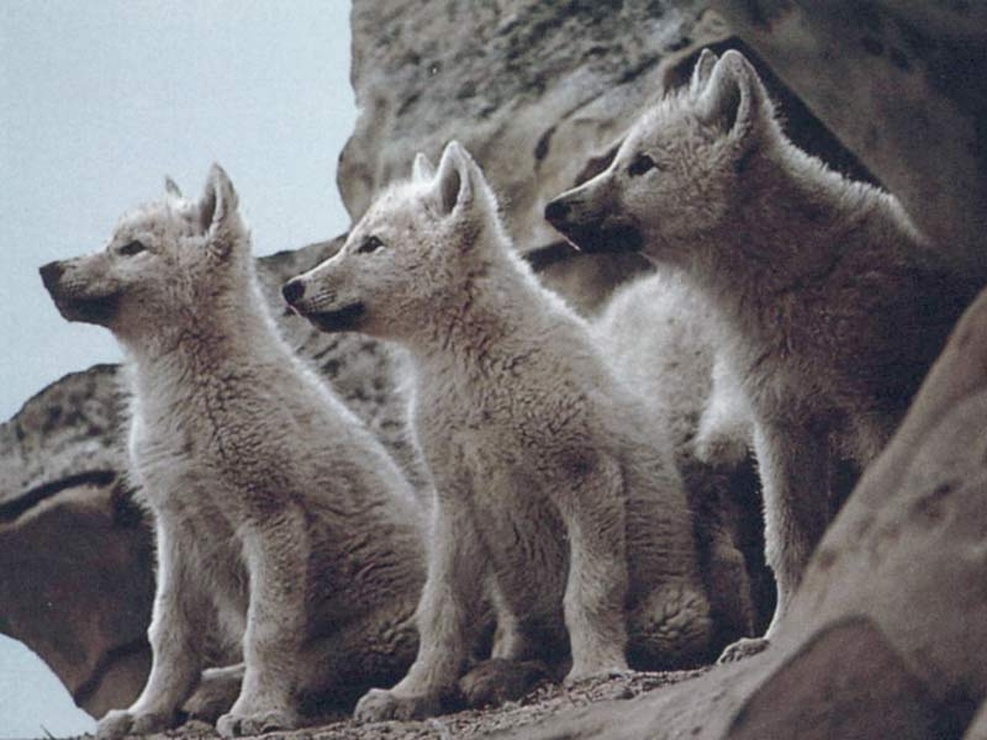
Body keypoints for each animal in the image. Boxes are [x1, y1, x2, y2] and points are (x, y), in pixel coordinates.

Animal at [39, 166, 426, 737]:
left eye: (131, 248)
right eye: (114, 241)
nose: (47, 270)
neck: (187, 394)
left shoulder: (271, 518)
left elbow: (266, 630)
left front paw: (257, 711)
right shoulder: (176, 527)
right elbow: (168, 631)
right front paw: (145, 712)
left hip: (381, 631)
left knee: (316, 664)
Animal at [283, 141, 713, 721]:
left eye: (372, 245)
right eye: (354, 240)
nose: (291, 288)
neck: (474, 372)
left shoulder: (586, 474)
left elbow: (590, 589)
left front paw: (598, 668)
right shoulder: (456, 501)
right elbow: (440, 609)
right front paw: (409, 694)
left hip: (671, 616)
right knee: (522, 644)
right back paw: (493, 674)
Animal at [545, 49, 979, 659]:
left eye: (642, 165)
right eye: (622, 159)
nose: (554, 209)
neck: (794, 280)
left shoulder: (878, 405)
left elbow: (879, 507)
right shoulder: (782, 424)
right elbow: (789, 540)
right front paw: (773, 636)